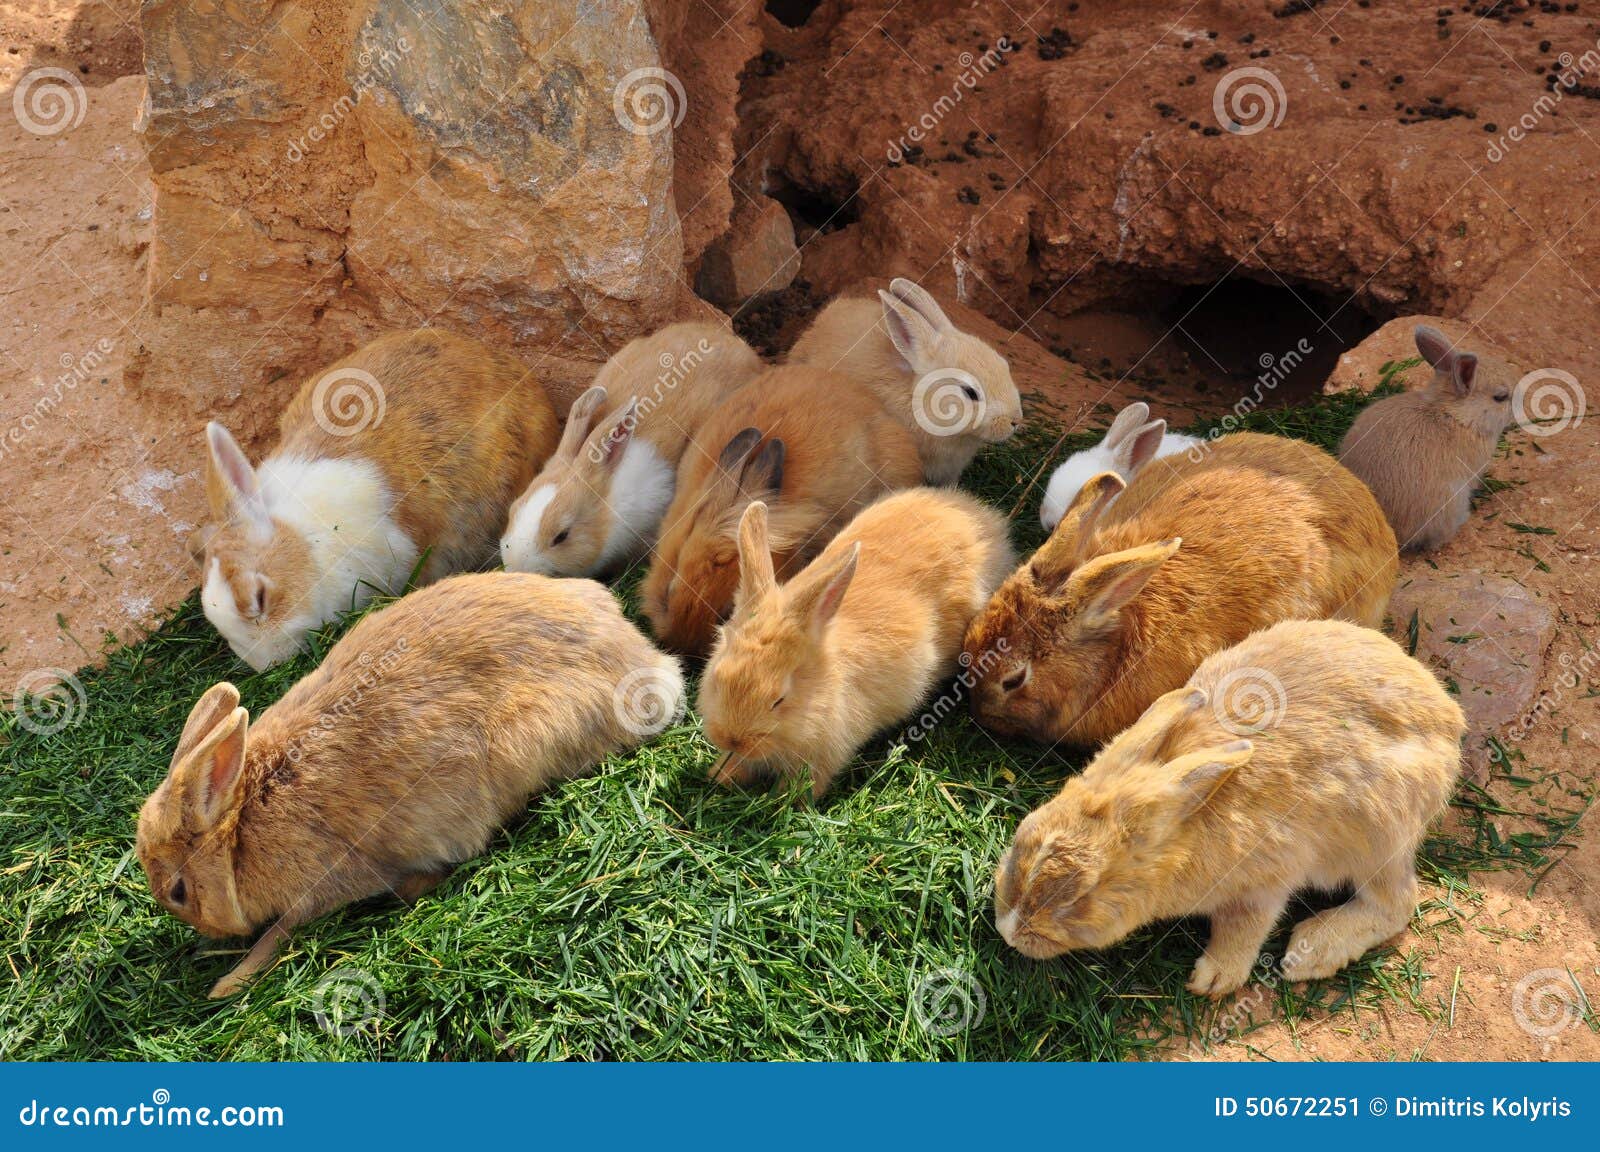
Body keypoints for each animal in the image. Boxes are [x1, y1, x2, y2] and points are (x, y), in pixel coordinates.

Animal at [136, 571, 685, 998]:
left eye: (179, 891)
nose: (205, 931)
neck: (242, 823)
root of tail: (648, 664)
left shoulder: (324, 884)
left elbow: (281, 931)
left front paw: (227, 983)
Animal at [699, 489, 1014, 800]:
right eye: (717, 679)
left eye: (779, 700)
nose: (732, 739)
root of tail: (985, 519)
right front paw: (720, 775)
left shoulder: (824, 754)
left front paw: (784, 801)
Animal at [994, 618, 1464, 997]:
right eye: (1021, 835)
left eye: (1082, 895)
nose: (1009, 932)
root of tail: (1448, 720)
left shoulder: (1266, 881)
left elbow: (1243, 926)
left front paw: (1213, 980)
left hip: (1377, 835)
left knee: (1397, 903)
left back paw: (1311, 951)